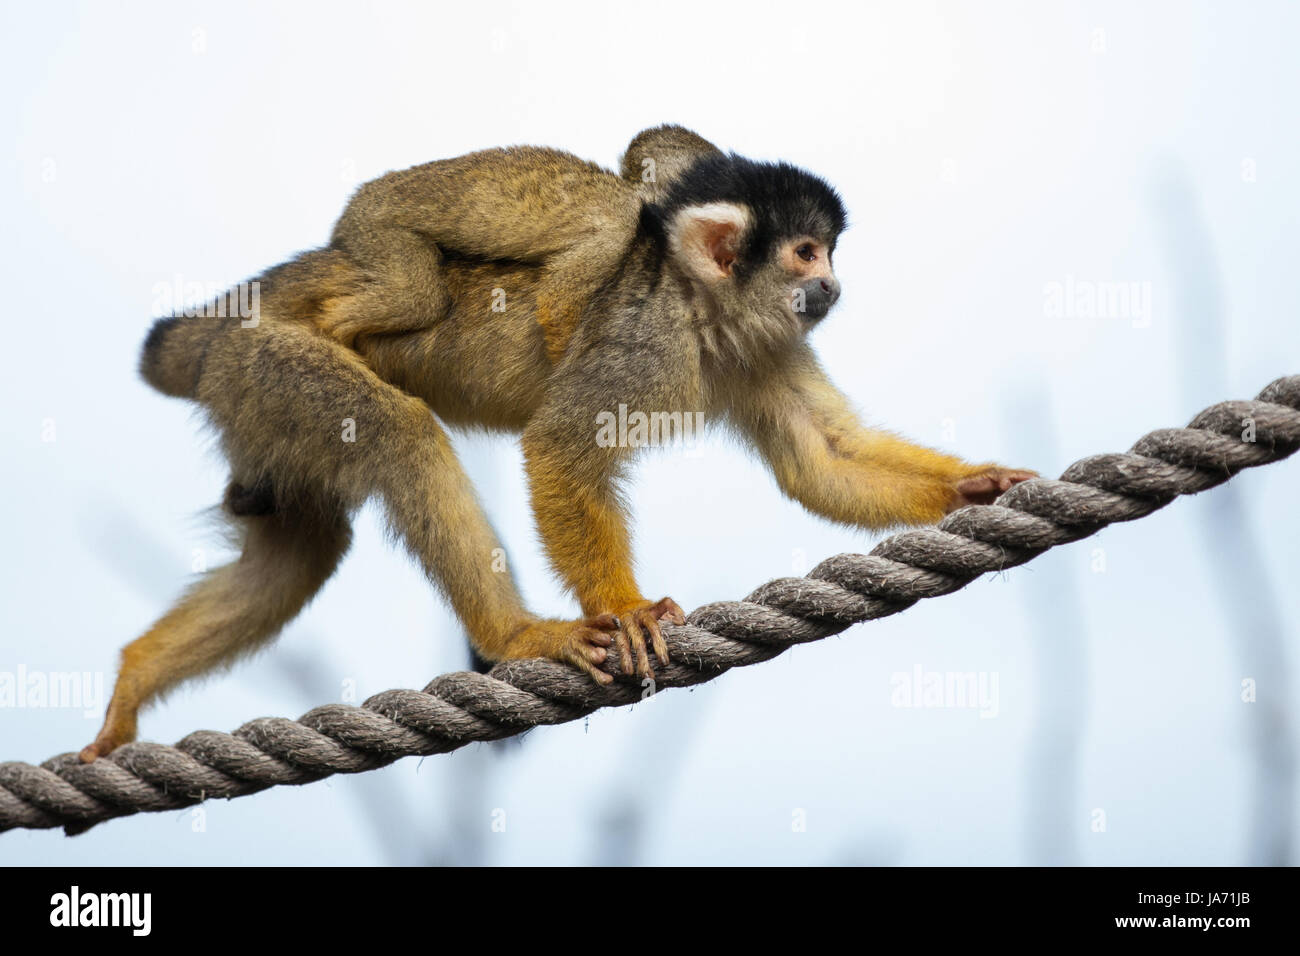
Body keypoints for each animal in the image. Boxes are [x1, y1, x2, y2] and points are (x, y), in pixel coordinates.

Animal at [79, 126, 1036, 762]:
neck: (702, 309)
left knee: (300, 545)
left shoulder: (762, 344)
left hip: (253, 398)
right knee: (398, 436)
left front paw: (977, 487)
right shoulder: (643, 337)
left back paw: (132, 677)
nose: (833, 285)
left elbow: (820, 459)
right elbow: (562, 446)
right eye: (807, 252)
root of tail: (241, 314)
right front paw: (627, 610)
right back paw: (514, 635)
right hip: (274, 361)